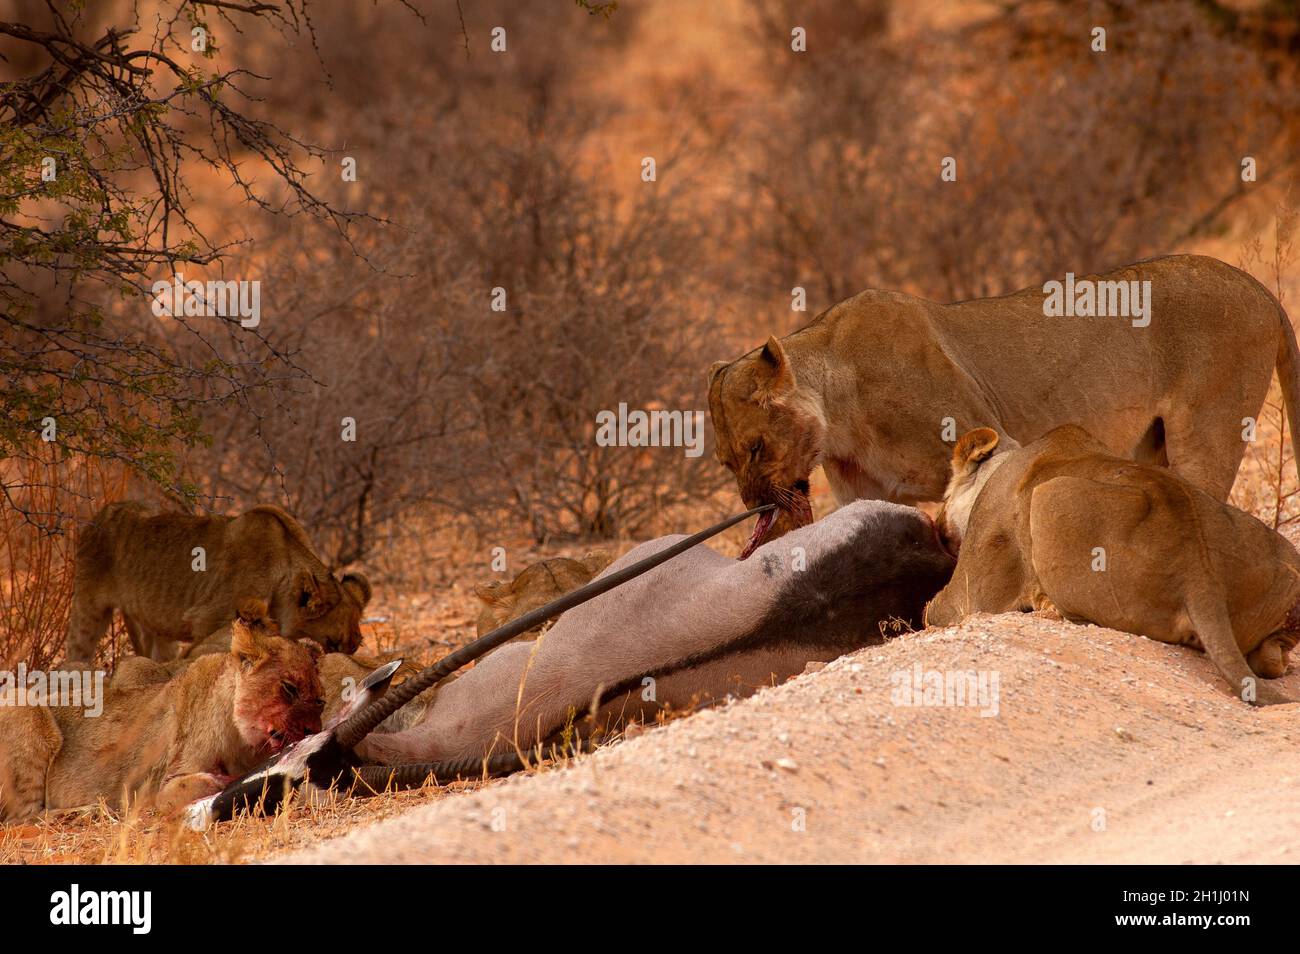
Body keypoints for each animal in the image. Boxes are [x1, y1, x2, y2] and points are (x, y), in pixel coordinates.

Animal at [0, 600, 324, 820]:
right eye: (289, 689)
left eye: (319, 701)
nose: (313, 730)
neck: (244, 743)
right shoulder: (157, 788)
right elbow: (191, 786)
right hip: (22, 703)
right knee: (21, 818)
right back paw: (84, 811)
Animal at [65, 501, 371, 662]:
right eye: (342, 623)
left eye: (357, 619)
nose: (357, 642)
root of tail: (102, 512)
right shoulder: (209, 619)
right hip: (88, 610)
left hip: (151, 626)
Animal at [708, 255, 1300, 555]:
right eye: (727, 462)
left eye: (757, 447)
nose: (755, 503)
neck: (842, 413)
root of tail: (1259, 287)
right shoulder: (864, 494)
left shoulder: (987, 439)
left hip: (1207, 432)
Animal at [925, 425, 1300, 706]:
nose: (937, 522)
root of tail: (1200, 574)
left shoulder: (975, 583)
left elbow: (939, 609)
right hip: (1281, 555)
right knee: (1271, 658)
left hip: (1052, 496)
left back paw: (1047, 606)